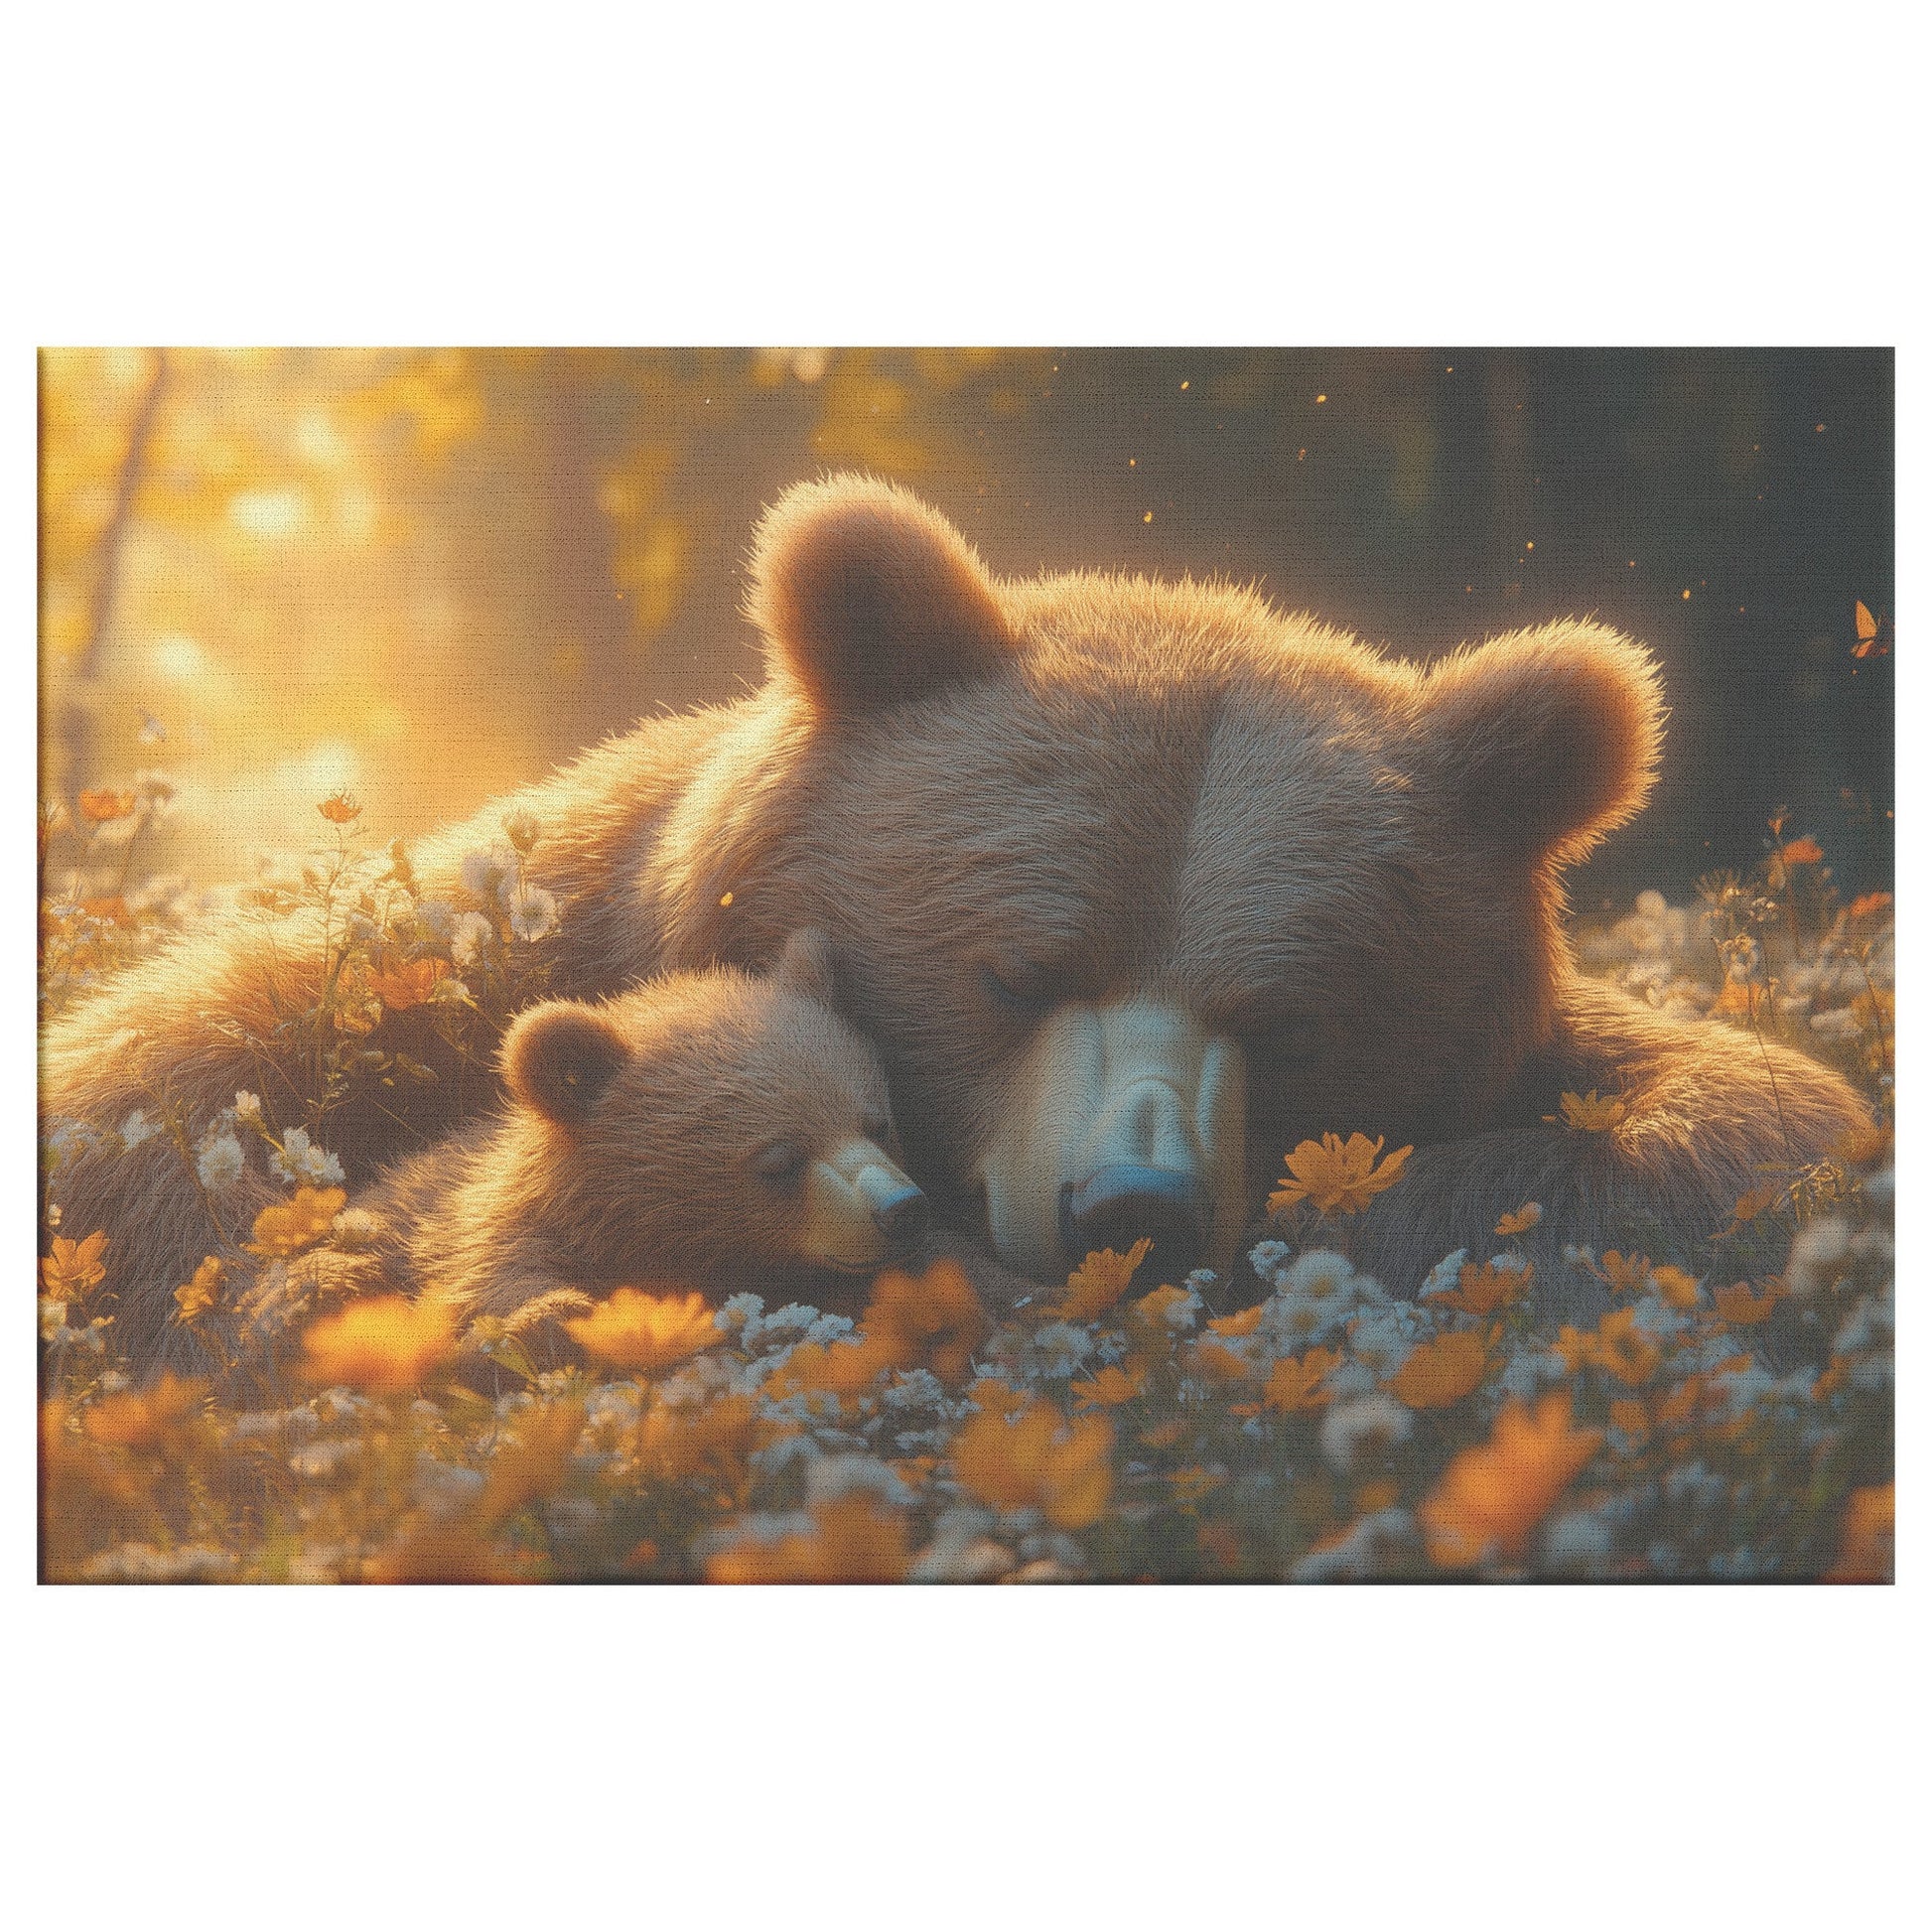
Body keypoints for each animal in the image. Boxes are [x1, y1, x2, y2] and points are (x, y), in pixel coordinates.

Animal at [41, 470, 1870, 1360]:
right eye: (1015, 970)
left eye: (1287, 1017)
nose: (1131, 1204)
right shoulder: (502, 950)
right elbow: (163, 1105)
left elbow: (1749, 1117)